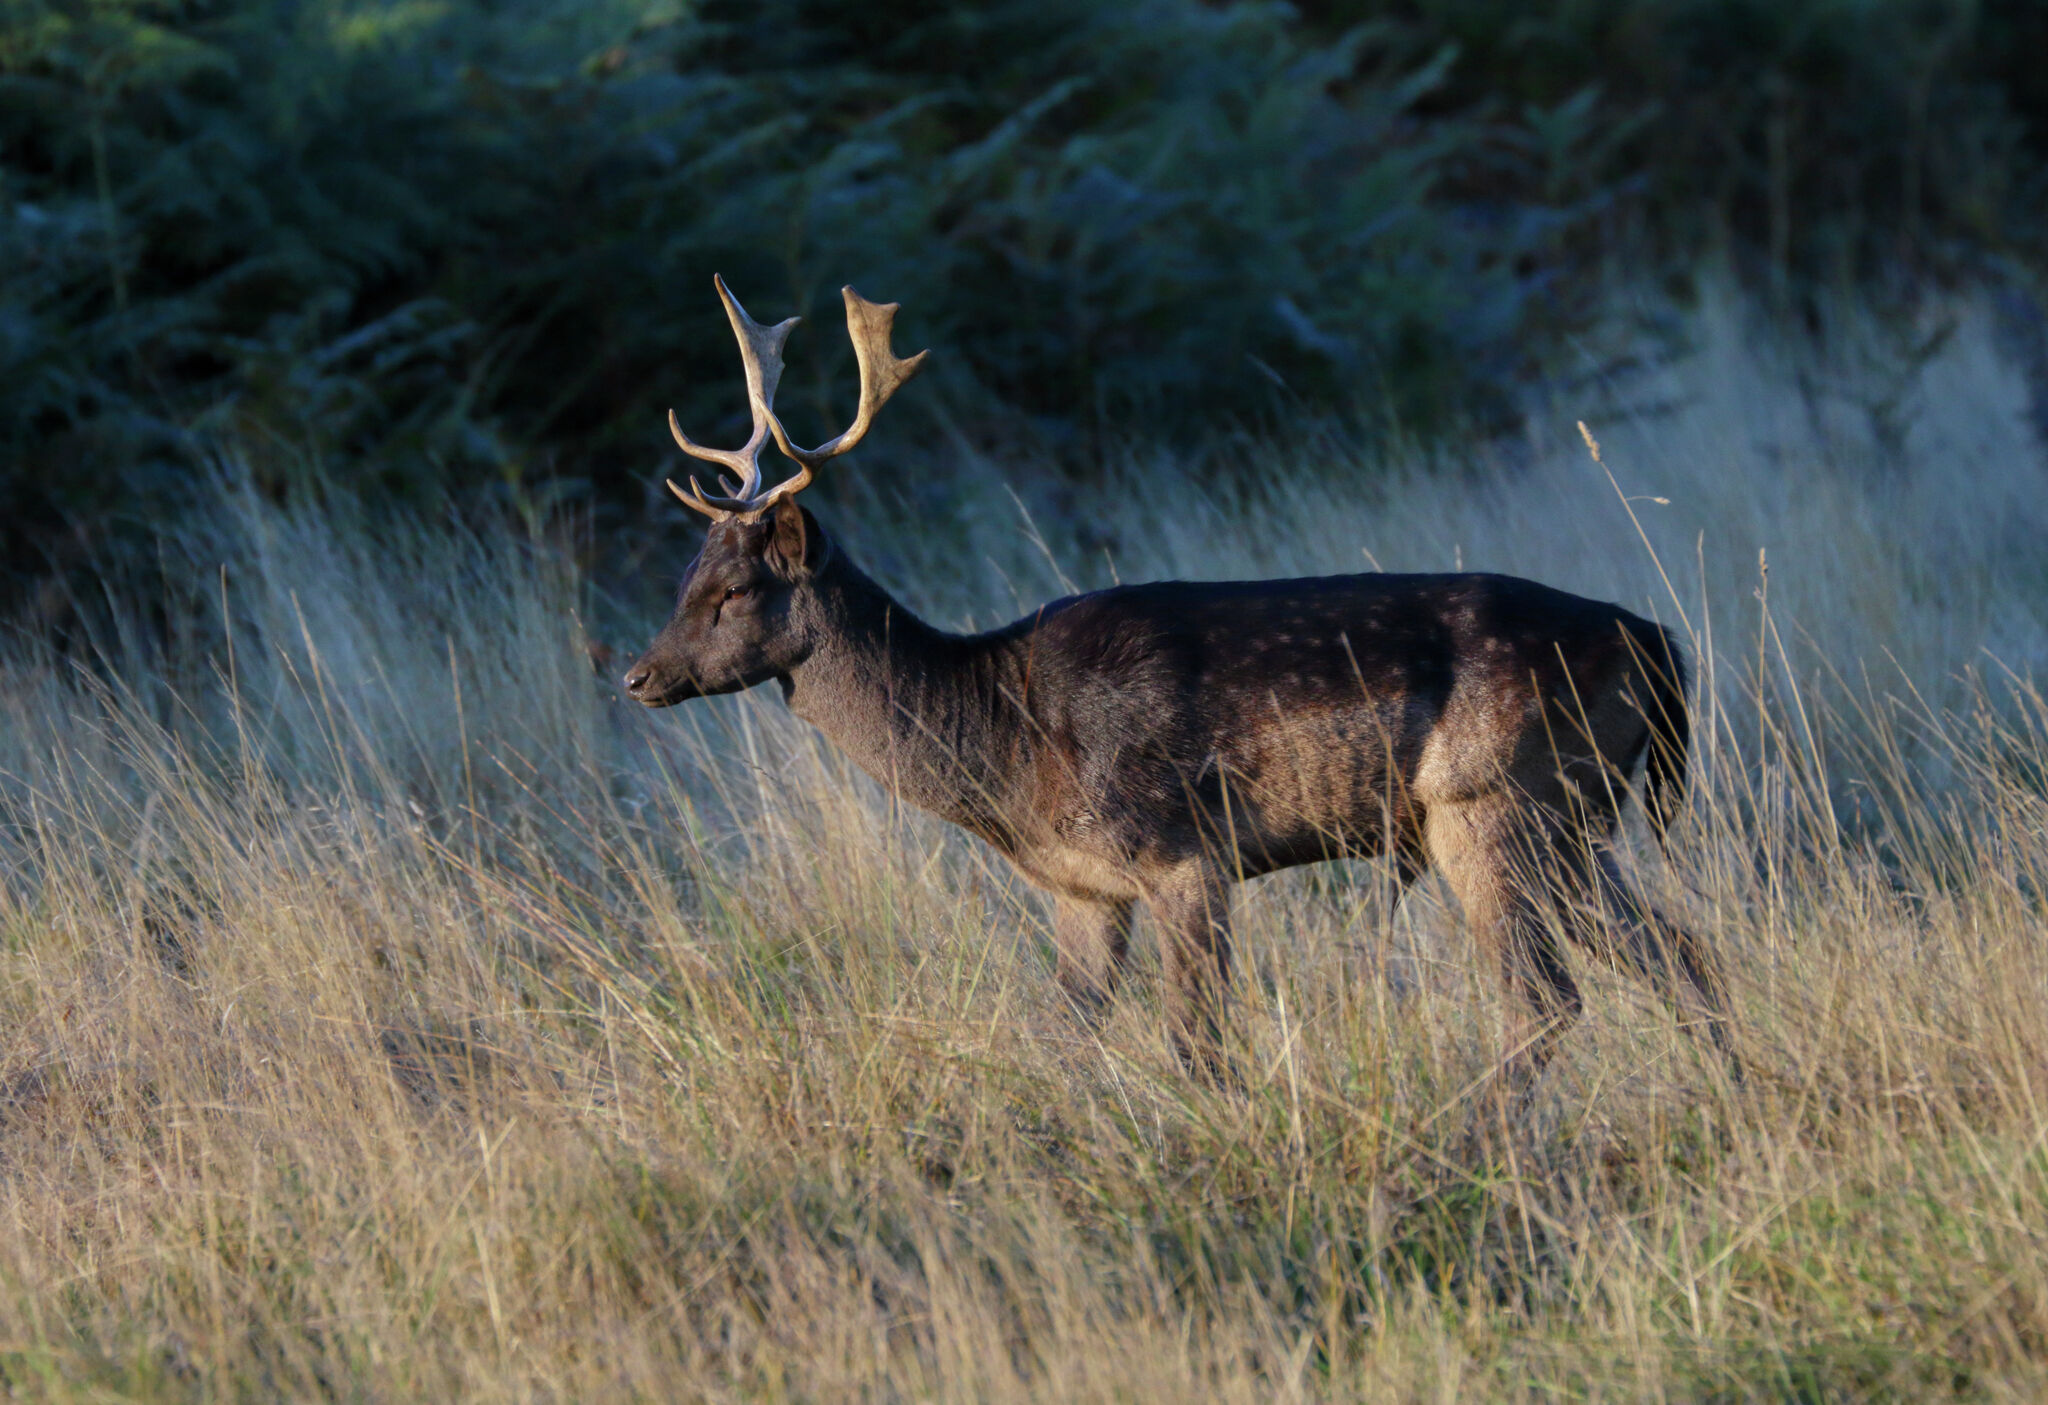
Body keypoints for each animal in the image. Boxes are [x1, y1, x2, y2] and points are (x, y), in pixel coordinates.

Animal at [624, 276, 1736, 1084]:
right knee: (1682, 958)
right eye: (683, 574)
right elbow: (1062, 1041)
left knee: (1546, 998)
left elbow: (1195, 1044)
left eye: (733, 589)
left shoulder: (1182, 852)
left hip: (1494, 802)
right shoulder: (1082, 889)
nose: (639, 674)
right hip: (1574, 822)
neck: (1006, 742)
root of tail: (1654, 640)